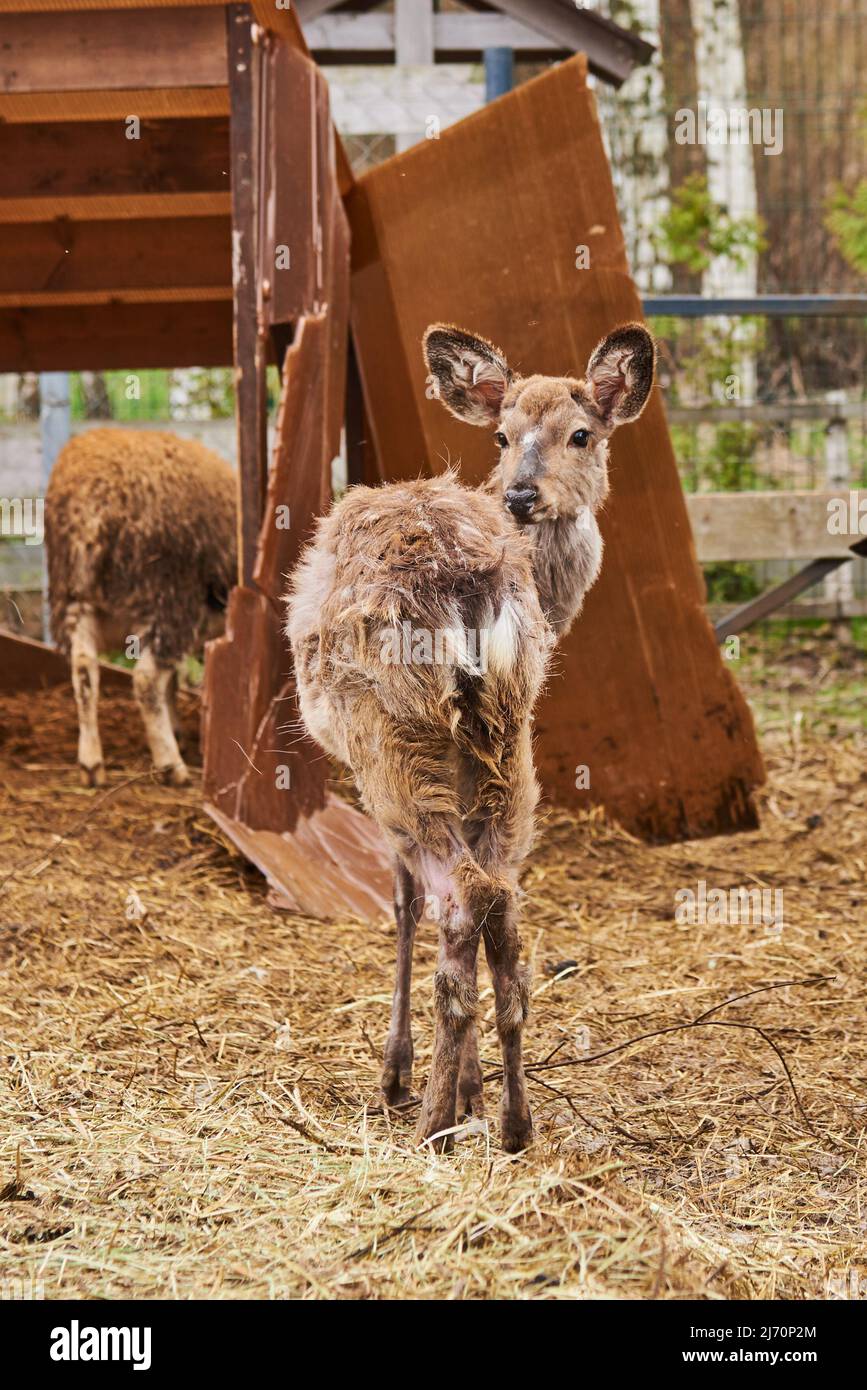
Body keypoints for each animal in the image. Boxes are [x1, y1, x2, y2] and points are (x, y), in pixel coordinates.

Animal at [45, 427, 236, 787]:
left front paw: (176, 727)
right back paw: (170, 765)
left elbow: (171, 682)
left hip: (73, 598)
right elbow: (166, 681)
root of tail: (94, 505)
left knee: (84, 672)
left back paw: (91, 764)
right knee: (145, 681)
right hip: (168, 596)